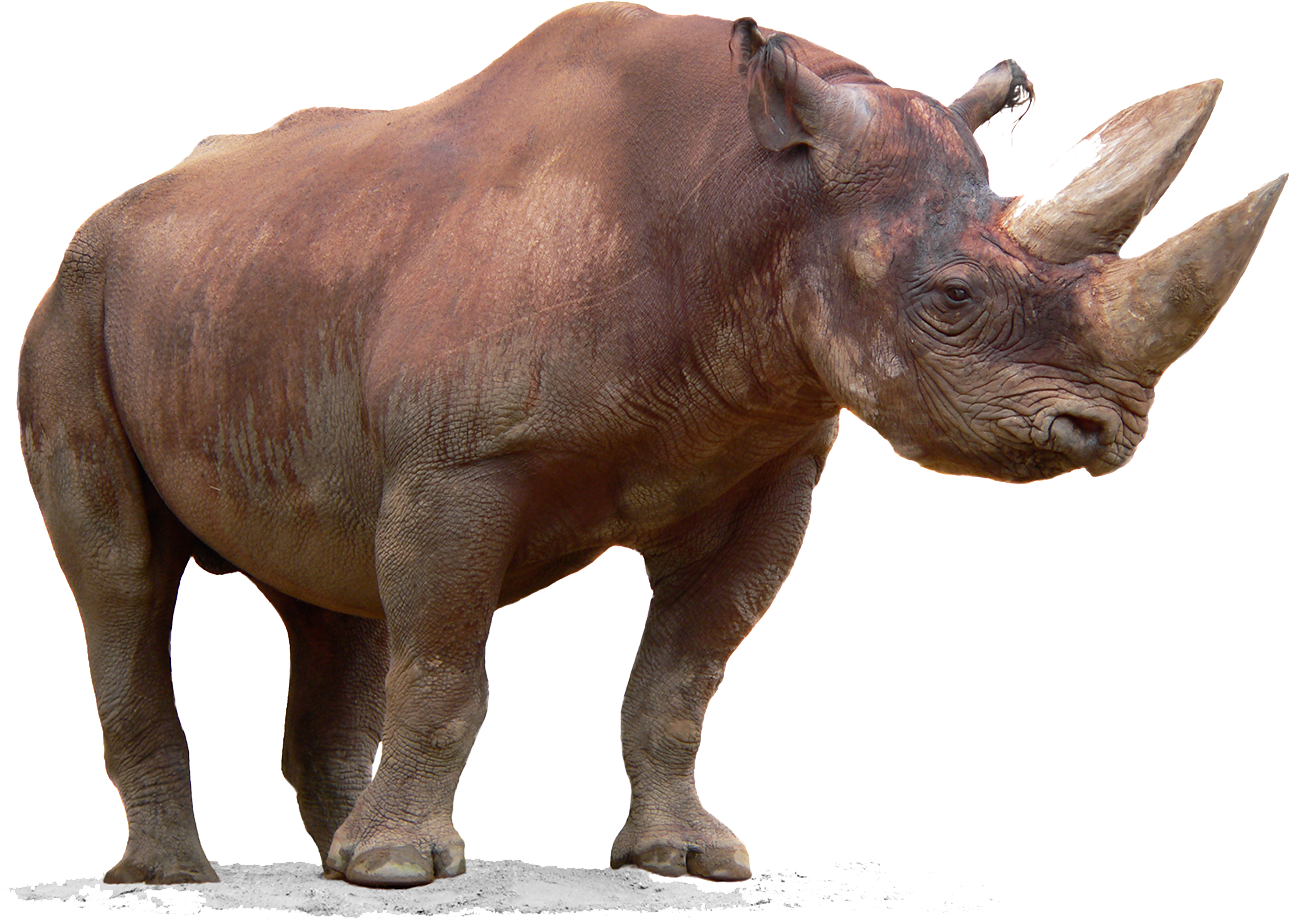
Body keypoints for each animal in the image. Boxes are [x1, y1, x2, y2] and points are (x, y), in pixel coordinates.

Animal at [16, 2, 1282, 889]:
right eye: (953, 298)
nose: (1109, 430)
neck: (752, 197)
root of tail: (122, 208)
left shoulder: (771, 462)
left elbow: (682, 675)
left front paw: (689, 859)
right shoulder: (460, 465)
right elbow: (446, 662)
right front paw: (399, 873)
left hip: (260, 284)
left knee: (328, 583)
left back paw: (330, 853)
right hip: (75, 303)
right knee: (122, 577)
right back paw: (189, 872)